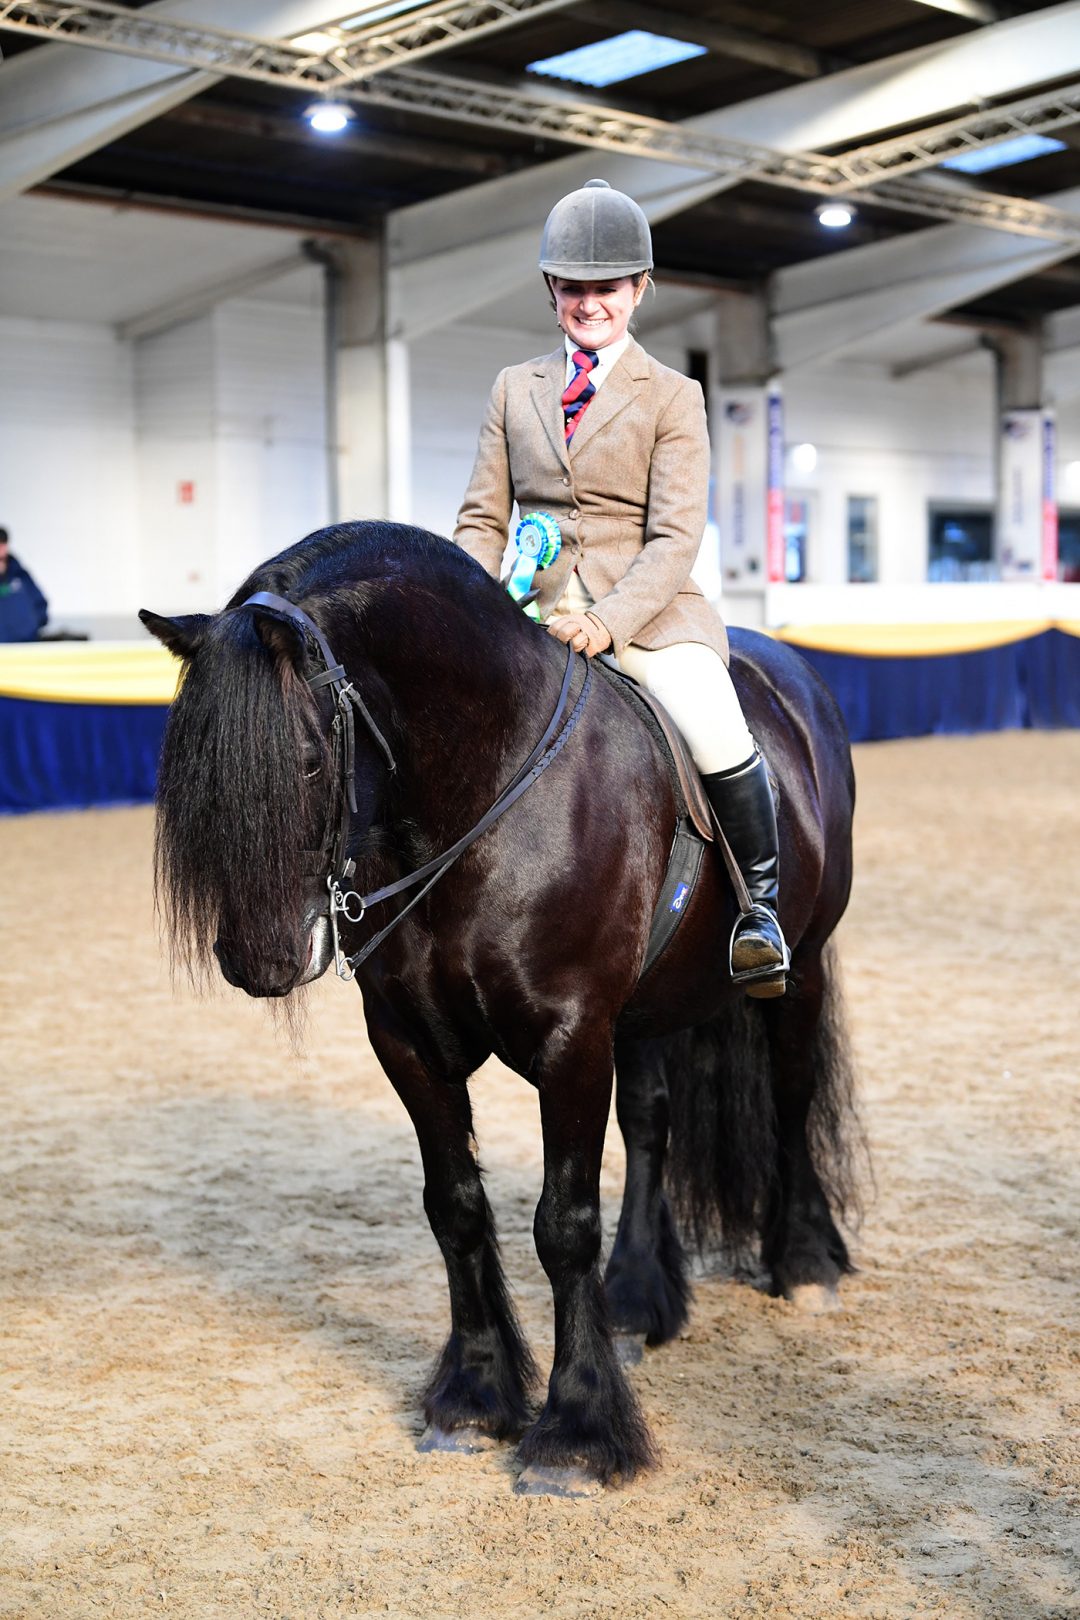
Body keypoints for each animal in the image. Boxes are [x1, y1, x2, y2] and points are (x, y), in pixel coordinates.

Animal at [141, 519, 861, 1497]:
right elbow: (456, 1209)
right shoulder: (407, 1042)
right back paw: (638, 1296)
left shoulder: (571, 1039)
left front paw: (577, 1432)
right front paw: (476, 1395)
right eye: (195, 776)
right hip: (642, 1014)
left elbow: (562, 1225)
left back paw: (806, 1261)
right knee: (651, 1124)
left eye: (309, 760)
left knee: (791, 1098)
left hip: (800, 969)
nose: (262, 959)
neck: (475, 800)